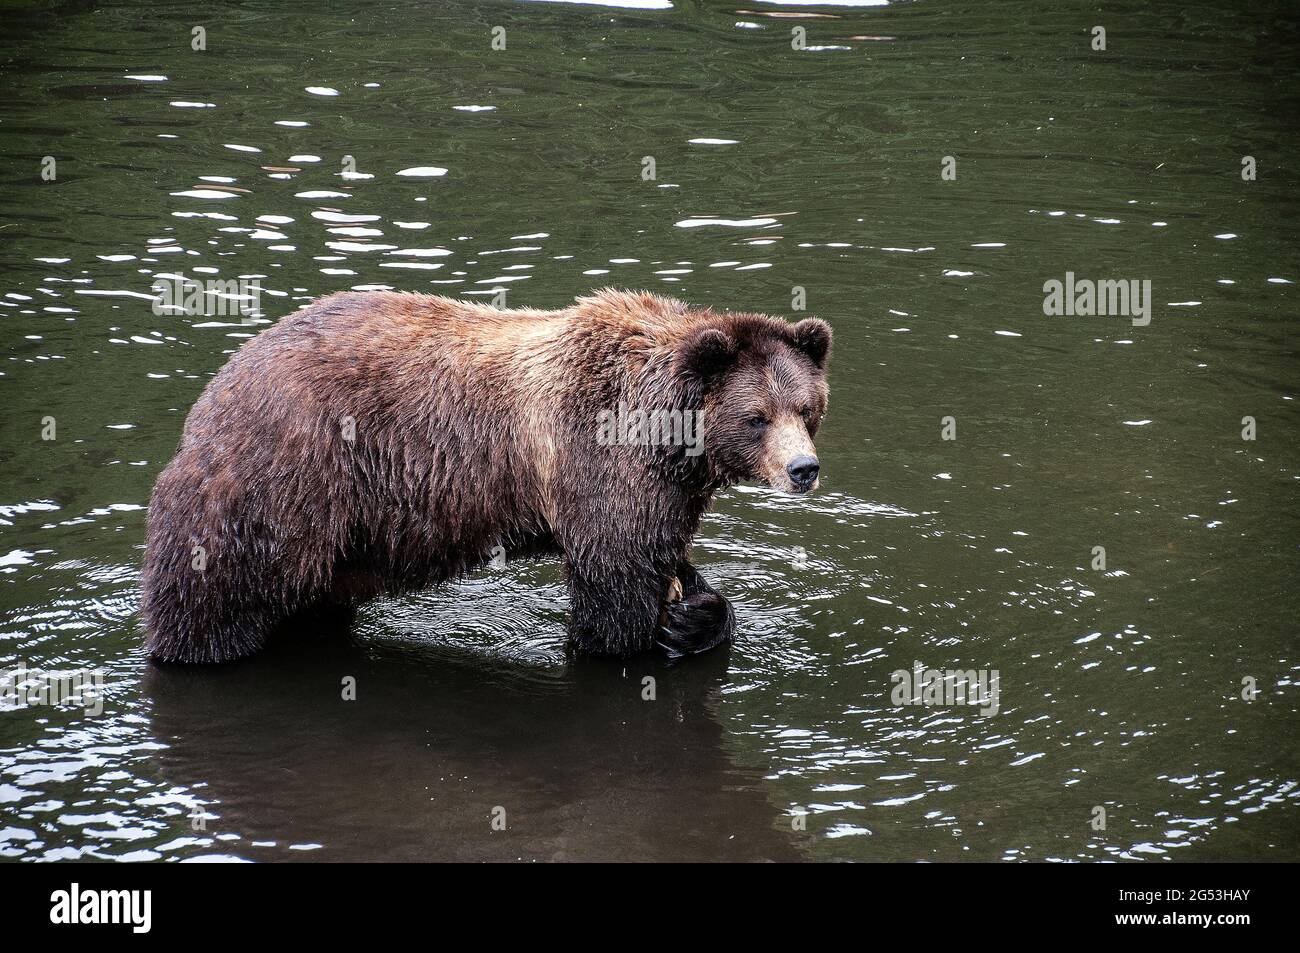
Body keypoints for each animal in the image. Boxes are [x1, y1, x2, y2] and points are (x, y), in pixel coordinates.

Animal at [141, 289, 832, 663]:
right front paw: (634, 635)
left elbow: (666, 560)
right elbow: (612, 587)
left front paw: (693, 613)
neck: (667, 437)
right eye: (757, 416)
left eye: (807, 408)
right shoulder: (601, 464)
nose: (803, 469)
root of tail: (224, 376)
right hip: (280, 480)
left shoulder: (667, 492)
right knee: (214, 591)